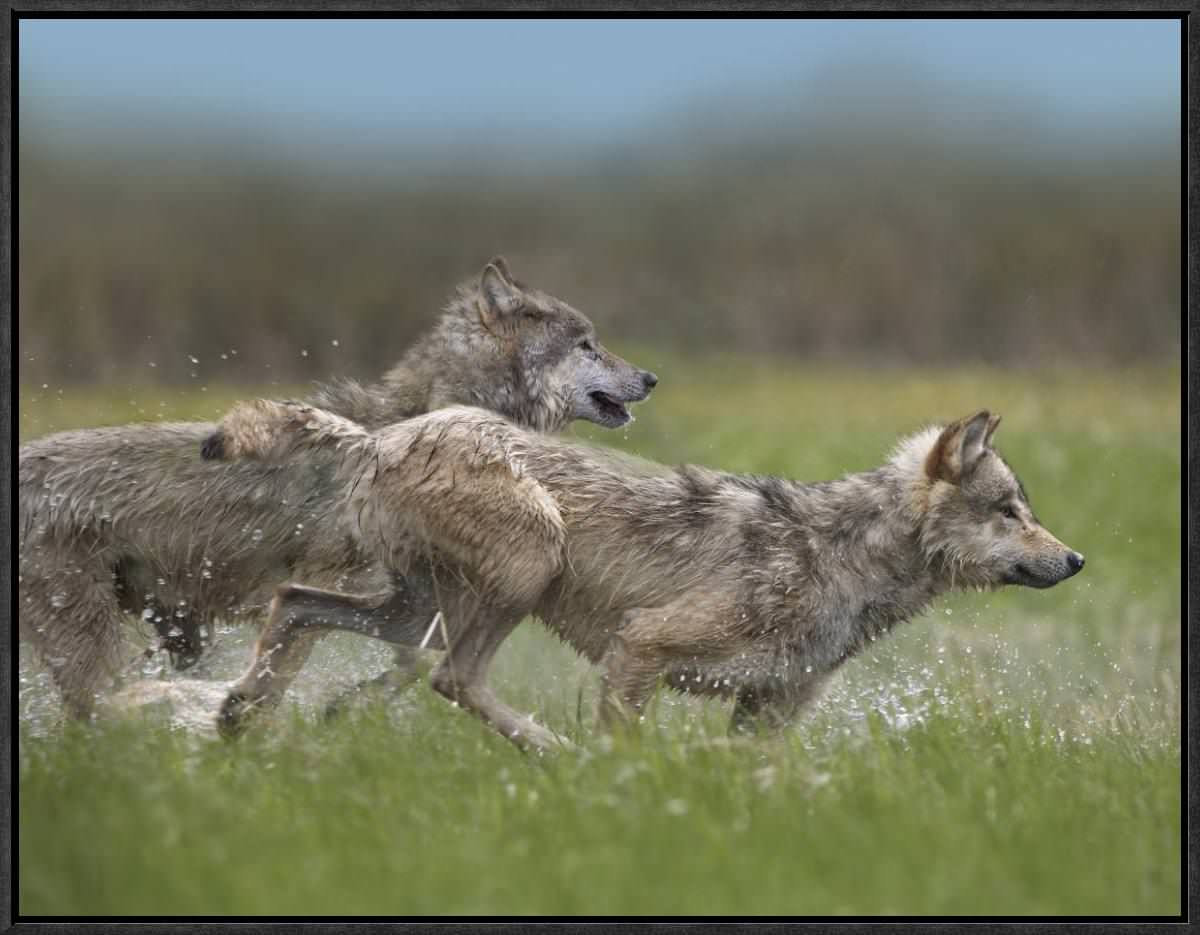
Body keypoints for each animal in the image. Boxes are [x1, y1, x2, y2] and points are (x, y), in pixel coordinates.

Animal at [18, 258, 657, 719]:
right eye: (586, 344)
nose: (651, 377)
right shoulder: (341, 584)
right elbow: (321, 663)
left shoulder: (406, 598)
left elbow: (402, 663)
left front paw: (333, 709)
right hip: (93, 639)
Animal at [204, 400, 1085, 750]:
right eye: (1011, 510)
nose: (1077, 558)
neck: (844, 558)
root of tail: (383, 435)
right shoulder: (641, 647)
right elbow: (626, 751)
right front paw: (616, 798)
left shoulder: (767, 713)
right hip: (524, 569)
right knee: (453, 678)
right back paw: (556, 753)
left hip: (417, 613)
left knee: (296, 604)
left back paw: (241, 718)